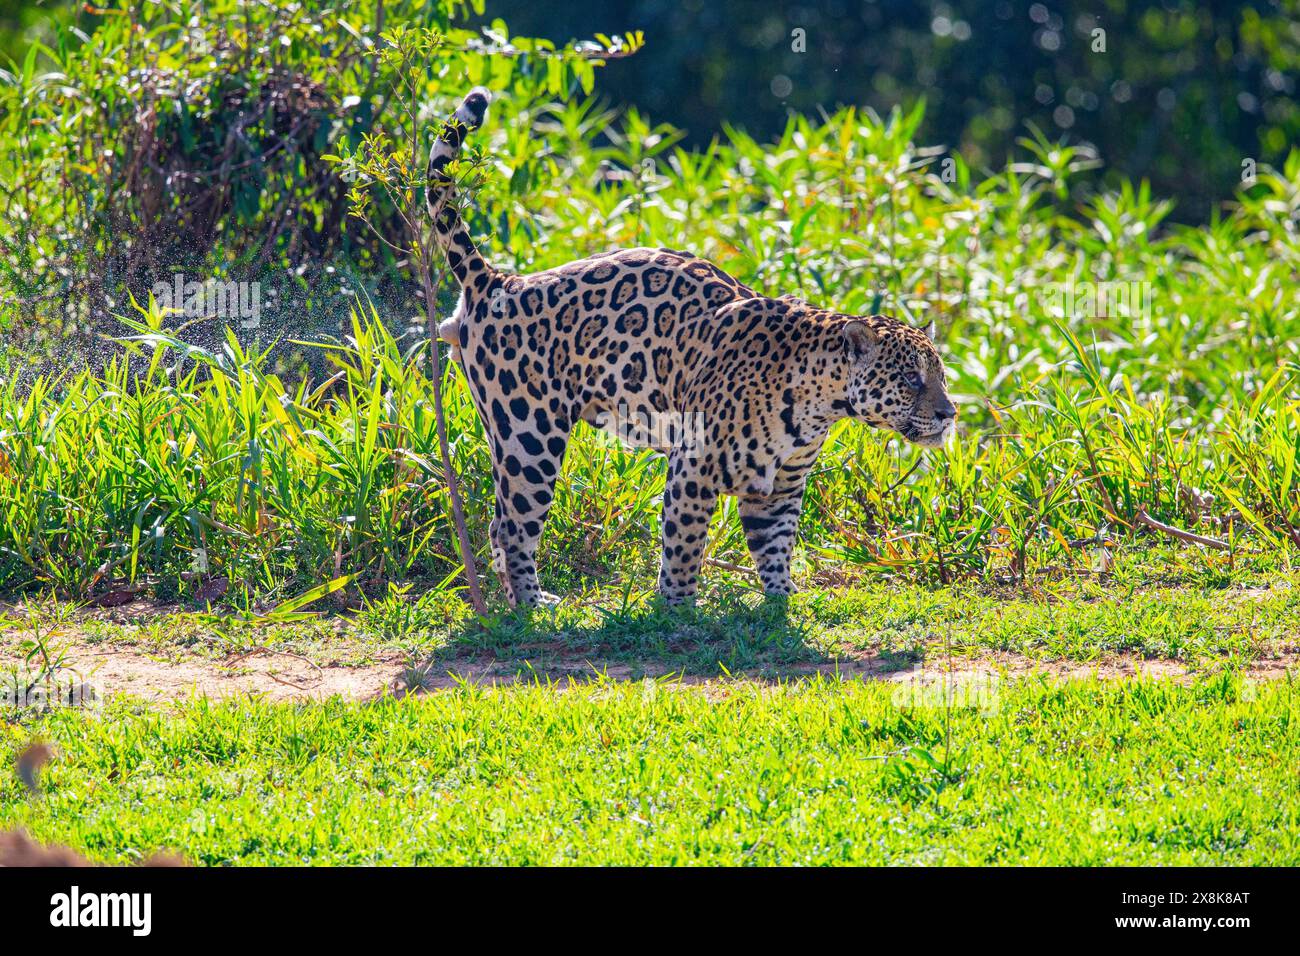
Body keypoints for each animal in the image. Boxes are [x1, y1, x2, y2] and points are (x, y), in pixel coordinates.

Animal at [427, 87, 957, 607]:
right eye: (911, 379)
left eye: (942, 377)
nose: (949, 414)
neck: (820, 402)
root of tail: (498, 281)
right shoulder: (694, 466)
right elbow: (683, 543)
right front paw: (676, 607)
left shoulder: (780, 487)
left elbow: (775, 545)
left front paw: (782, 602)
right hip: (529, 434)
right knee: (514, 526)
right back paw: (533, 606)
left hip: (505, 431)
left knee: (498, 523)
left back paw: (515, 604)